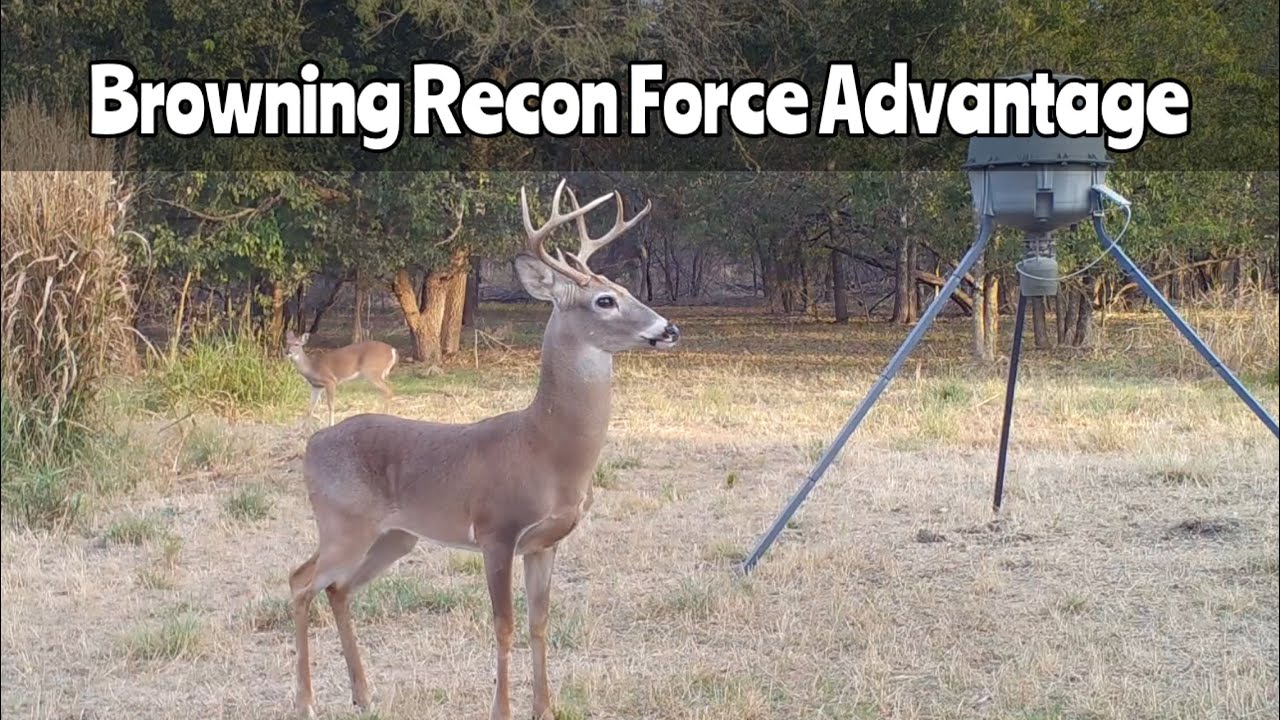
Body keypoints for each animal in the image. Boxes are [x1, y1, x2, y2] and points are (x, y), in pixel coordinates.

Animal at [287, 178, 680, 720]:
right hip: (343, 521)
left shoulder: (546, 542)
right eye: (605, 300)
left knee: (336, 588)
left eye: (627, 291)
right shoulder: (497, 531)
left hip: (395, 535)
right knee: (300, 581)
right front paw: (503, 710)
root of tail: (311, 445)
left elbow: (539, 623)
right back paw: (306, 701)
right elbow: (504, 625)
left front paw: (545, 709)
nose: (668, 329)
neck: (546, 450)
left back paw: (363, 694)